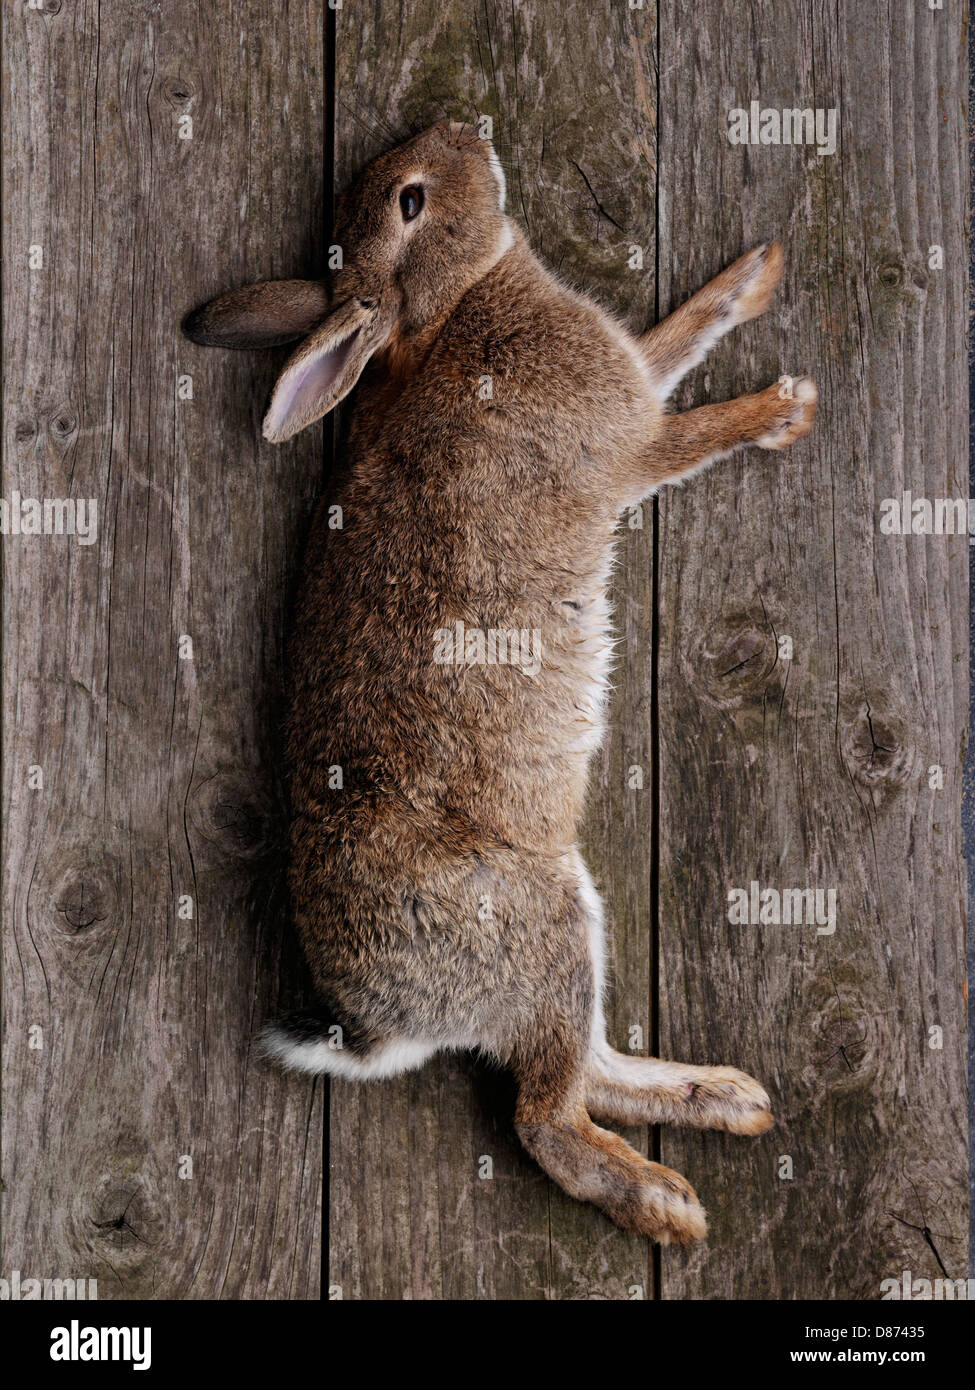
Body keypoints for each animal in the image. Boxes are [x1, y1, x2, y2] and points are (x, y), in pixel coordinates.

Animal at [184, 119, 817, 1245]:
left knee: (585, 1073)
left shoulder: (629, 376)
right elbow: (689, 427)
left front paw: (754, 276)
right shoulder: (627, 441)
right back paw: (669, 1201)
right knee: (547, 1118)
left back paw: (728, 1098)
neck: (443, 316)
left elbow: (677, 332)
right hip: (544, 918)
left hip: (569, 932)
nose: (462, 129)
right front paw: (783, 411)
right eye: (411, 202)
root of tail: (377, 1026)